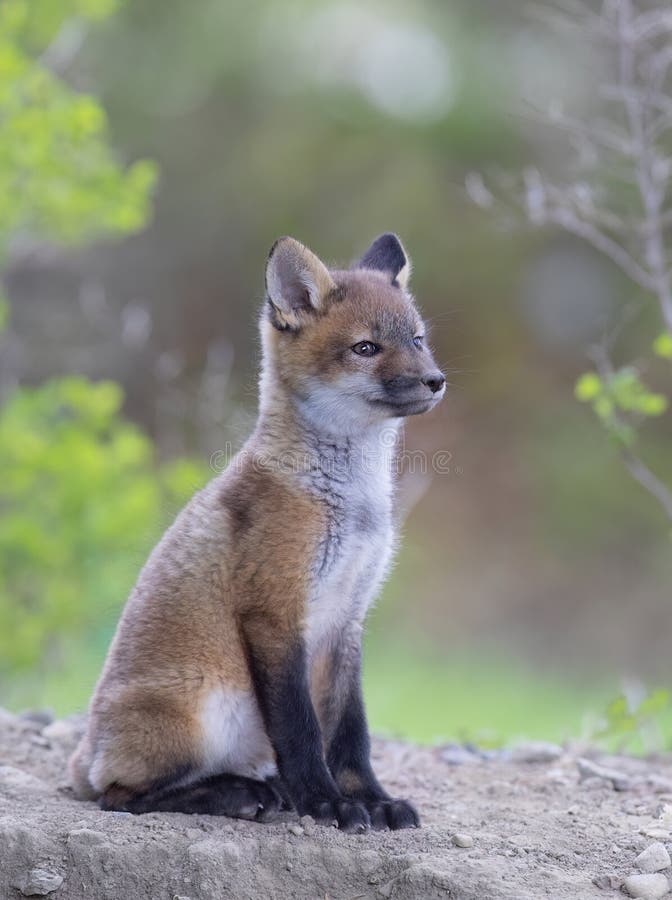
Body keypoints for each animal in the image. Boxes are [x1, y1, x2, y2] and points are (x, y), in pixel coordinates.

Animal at [69, 233, 445, 833]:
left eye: (416, 339)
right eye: (366, 348)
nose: (436, 381)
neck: (353, 506)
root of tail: (86, 753)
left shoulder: (348, 619)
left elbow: (352, 735)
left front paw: (371, 798)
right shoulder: (273, 612)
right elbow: (302, 731)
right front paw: (327, 802)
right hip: (203, 714)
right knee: (121, 795)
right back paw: (237, 794)